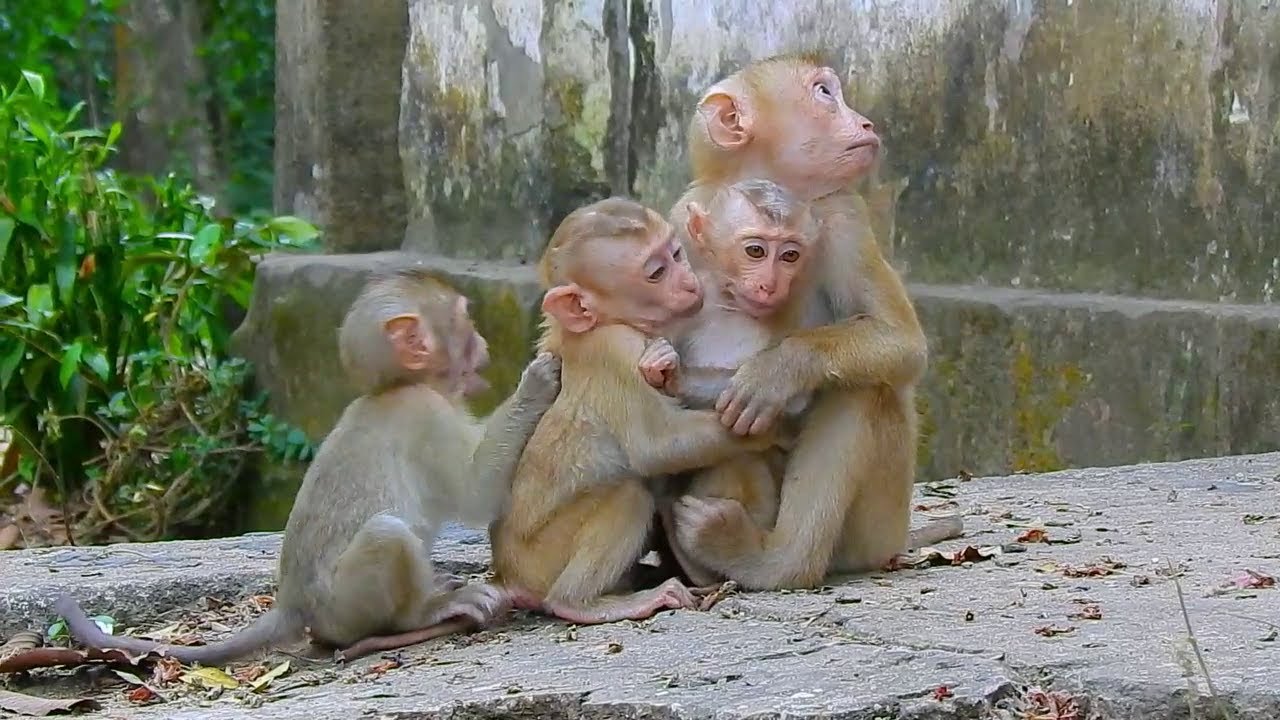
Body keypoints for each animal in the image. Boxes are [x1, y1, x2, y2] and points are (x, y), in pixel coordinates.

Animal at [54, 268, 563, 665]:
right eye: (463, 321)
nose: (483, 344)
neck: (395, 386)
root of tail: (294, 606)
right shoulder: (424, 414)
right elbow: (478, 495)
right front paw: (534, 384)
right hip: (344, 604)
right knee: (387, 536)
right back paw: (425, 611)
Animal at [489, 196, 778, 624]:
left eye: (676, 254)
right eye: (657, 273)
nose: (688, 282)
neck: (602, 324)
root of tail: (508, 575)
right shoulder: (616, 349)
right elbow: (657, 445)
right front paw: (782, 425)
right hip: (543, 557)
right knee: (629, 496)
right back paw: (581, 602)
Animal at [662, 53, 963, 591]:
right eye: (825, 94)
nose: (865, 123)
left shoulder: (844, 216)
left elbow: (901, 342)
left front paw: (778, 370)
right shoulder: (680, 220)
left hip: (875, 526)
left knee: (863, 389)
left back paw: (774, 562)